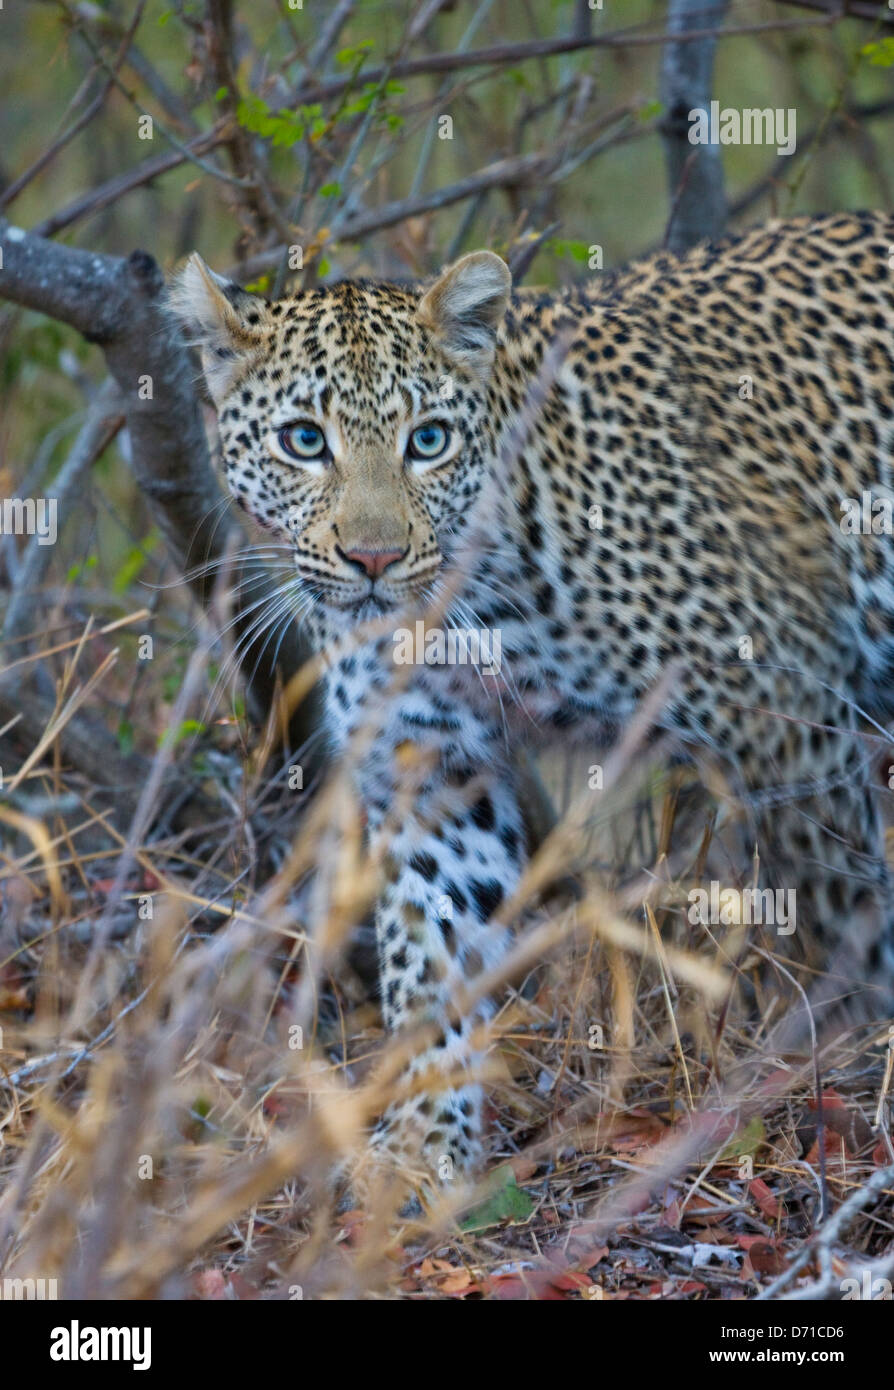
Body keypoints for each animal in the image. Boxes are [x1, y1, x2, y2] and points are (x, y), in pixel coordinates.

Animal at [171, 210, 894, 1194]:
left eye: (428, 441)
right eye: (304, 441)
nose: (374, 559)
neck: (478, 611)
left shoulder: (789, 717)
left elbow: (842, 903)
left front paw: (855, 1047)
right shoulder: (432, 773)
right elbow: (427, 958)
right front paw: (421, 1146)